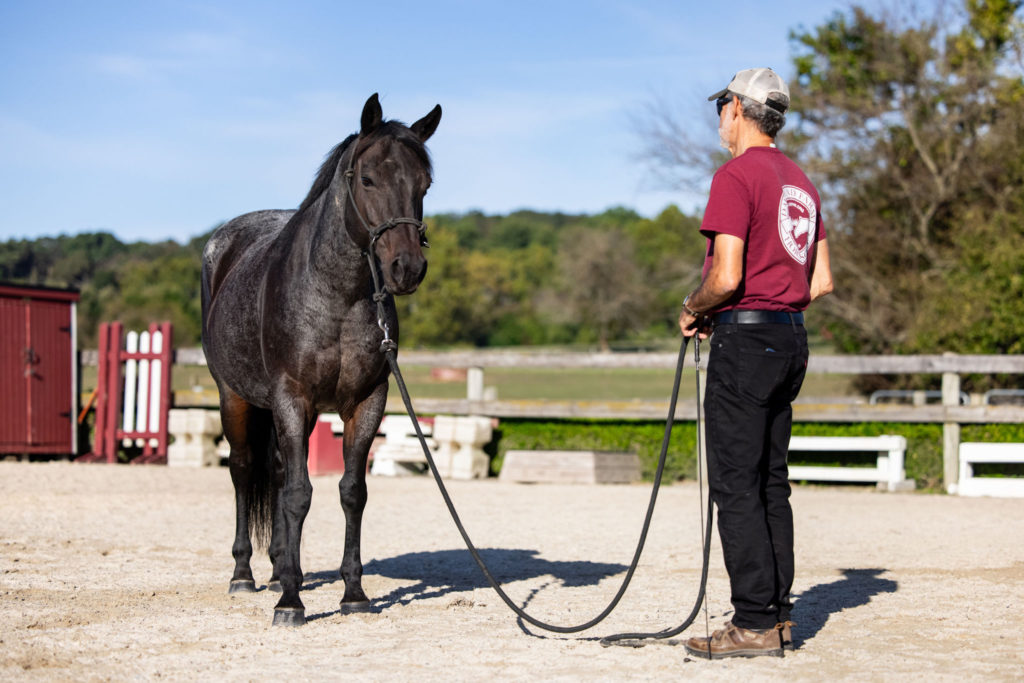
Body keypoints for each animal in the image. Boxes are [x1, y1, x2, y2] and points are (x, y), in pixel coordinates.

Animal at [200, 93, 441, 626]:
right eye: (367, 178)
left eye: (425, 184)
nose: (407, 269)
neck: (337, 295)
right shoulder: (292, 398)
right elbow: (297, 494)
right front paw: (291, 603)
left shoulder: (367, 401)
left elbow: (351, 492)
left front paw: (353, 593)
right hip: (236, 399)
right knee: (245, 471)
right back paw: (246, 575)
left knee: (277, 471)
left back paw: (278, 570)